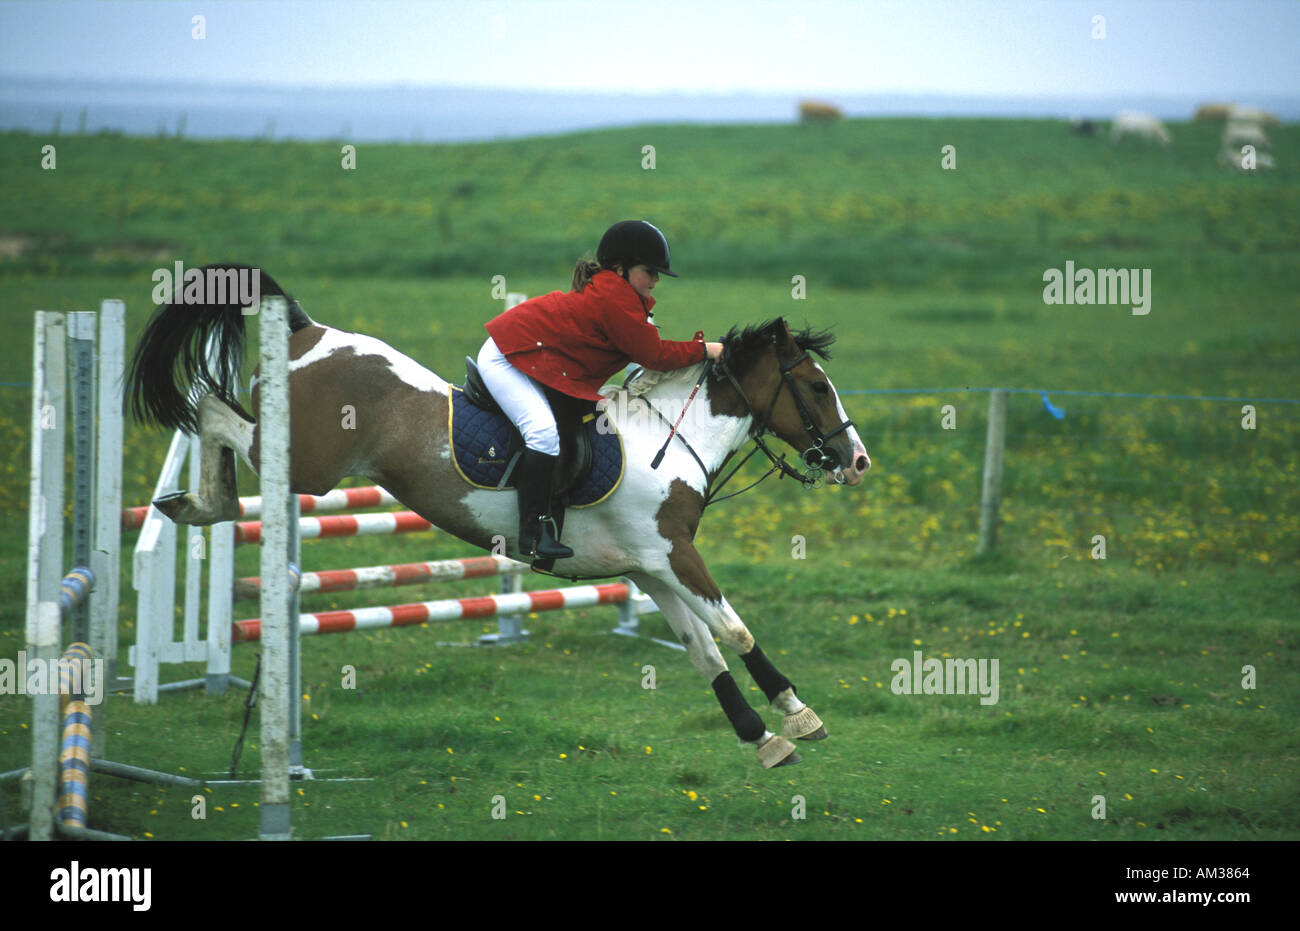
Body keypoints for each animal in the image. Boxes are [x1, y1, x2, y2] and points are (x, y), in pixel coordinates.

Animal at [126, 264, 871, 769]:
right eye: (815, 387)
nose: (856, 460)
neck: (669, 435)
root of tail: (307, 328)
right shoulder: (672, 555)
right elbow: (736, 631)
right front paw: (798, 715)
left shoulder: (651, 568)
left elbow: (705, 649)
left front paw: (763, 737)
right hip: (307, 462)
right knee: (212, 410)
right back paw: (205, 500)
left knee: (218, 415)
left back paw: (195, 502)